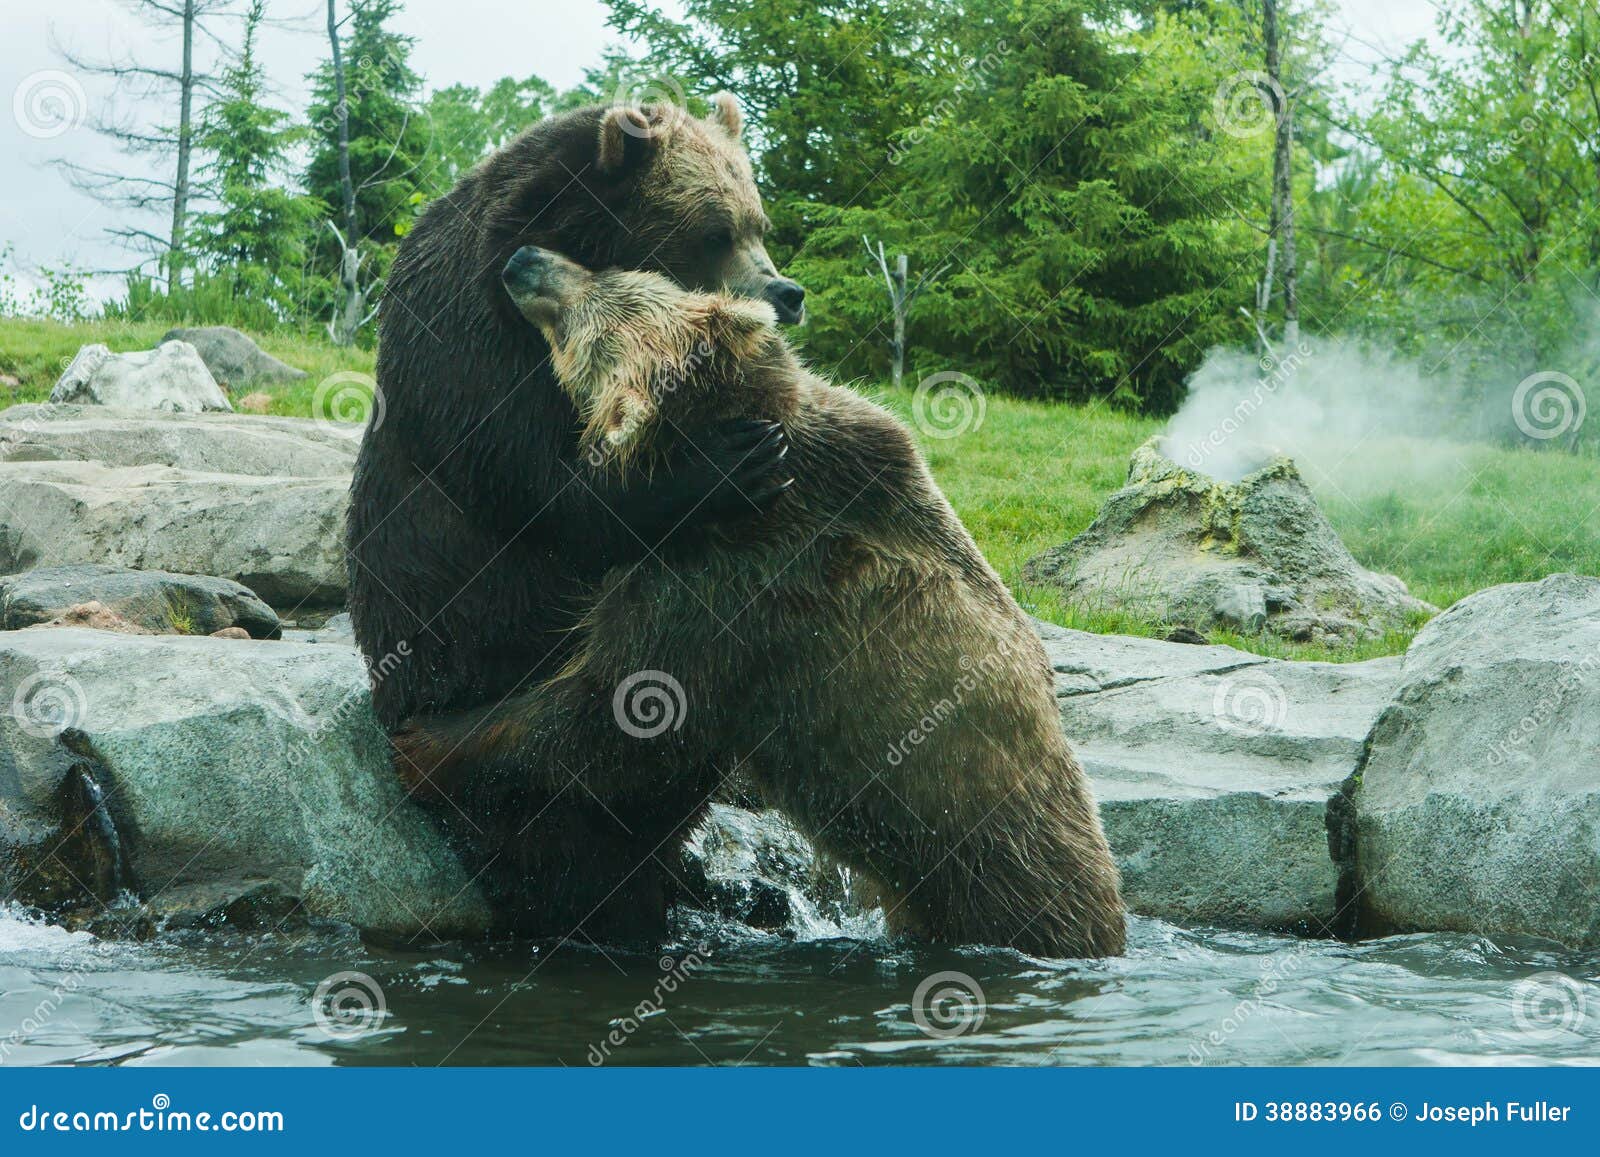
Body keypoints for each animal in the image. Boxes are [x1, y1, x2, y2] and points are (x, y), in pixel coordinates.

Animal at [348, 96, 804, 941]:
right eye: (715, 230)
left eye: (759, 220)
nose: (786, 291)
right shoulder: (477, 343)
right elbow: (545, 489)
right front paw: (730, 460)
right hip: (472, 672)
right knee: (549, 809)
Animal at [395, 246, 1127, 959]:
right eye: (616, 269)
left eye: (581, 328)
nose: (524, 259)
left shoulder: (733, 588)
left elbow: (615, 716)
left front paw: (425, 741)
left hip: (995, 860)